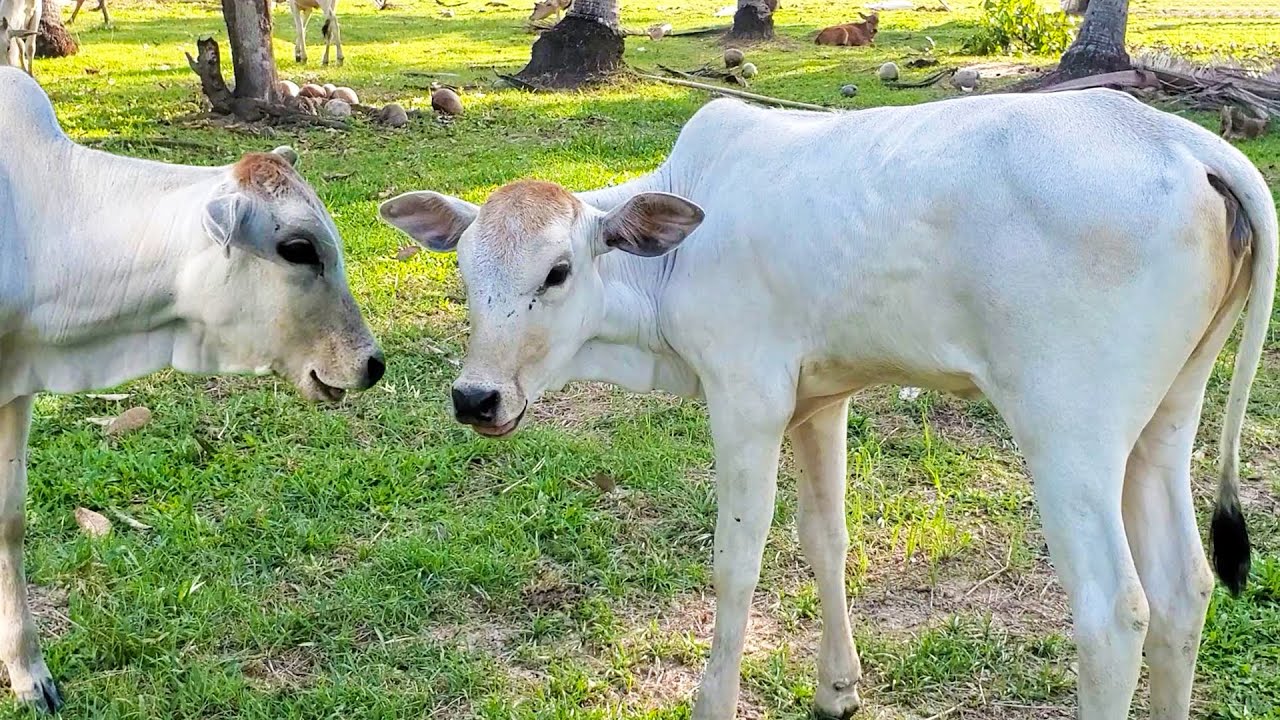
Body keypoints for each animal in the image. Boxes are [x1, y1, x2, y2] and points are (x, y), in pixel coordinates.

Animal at [378, 90, 1278, 720]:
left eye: (558, 272)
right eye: (464, 274)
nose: (476, 396)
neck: (668, 262)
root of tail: (1184, 139)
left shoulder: (745, 396)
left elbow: (736, 561)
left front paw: (714, 701)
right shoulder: (819, 399)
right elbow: (826, 539)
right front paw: (837, 688)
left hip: (1069, 436)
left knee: (1114, 612)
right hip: (1163, 421)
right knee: (1183, 588)